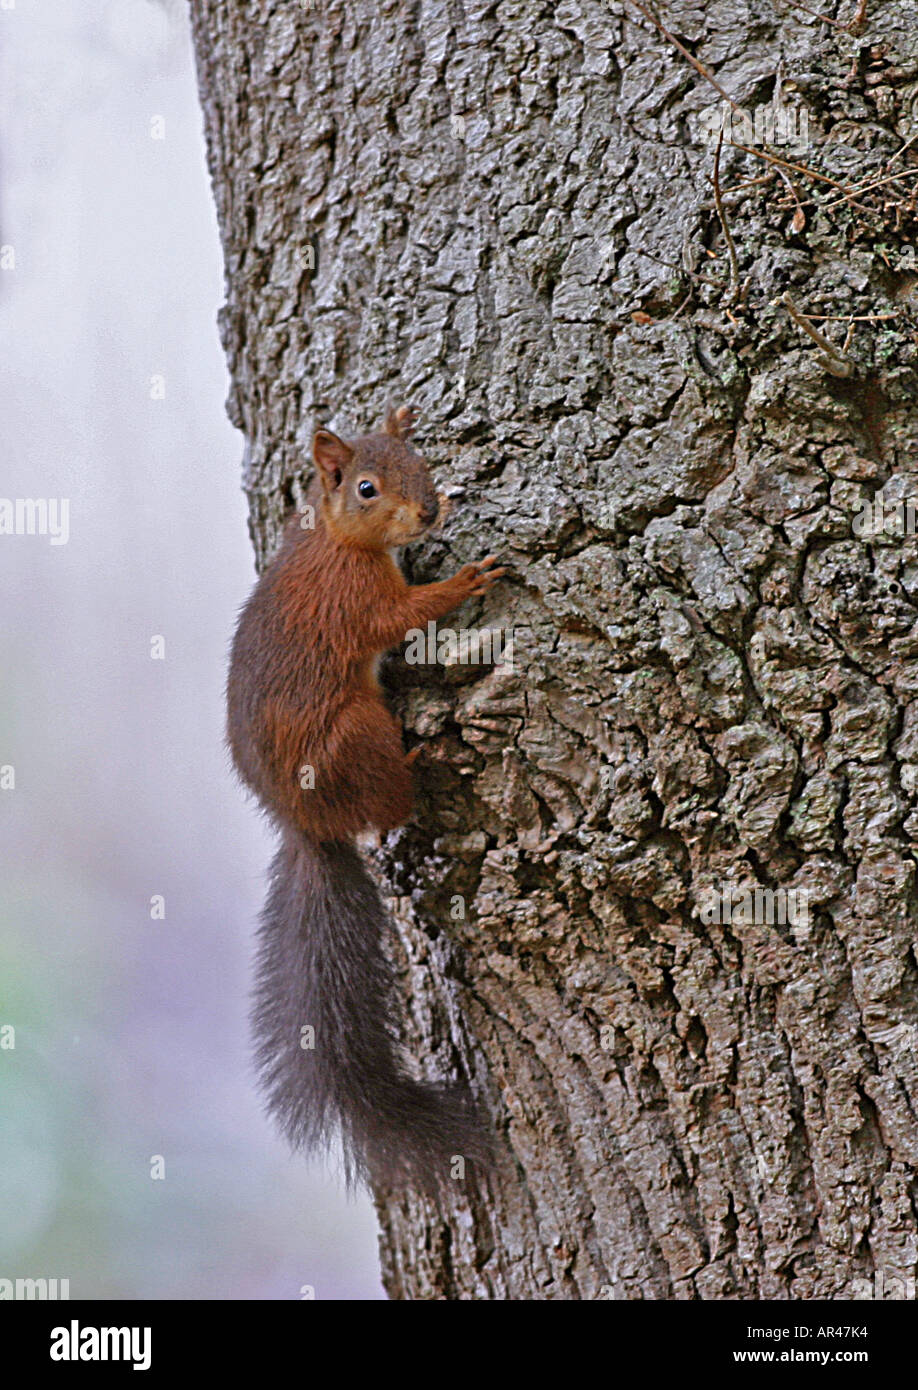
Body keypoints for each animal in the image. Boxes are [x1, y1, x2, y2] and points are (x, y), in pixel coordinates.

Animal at [226, 405, 504, 1190]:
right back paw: (422, 762)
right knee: (389, 809)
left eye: (421, 460)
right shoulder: (358, 603)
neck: (340, 541)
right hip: (354, 731)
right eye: (367, 487)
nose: (432, 511)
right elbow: (402, 616)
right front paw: (467, 579)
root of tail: (305, 824)